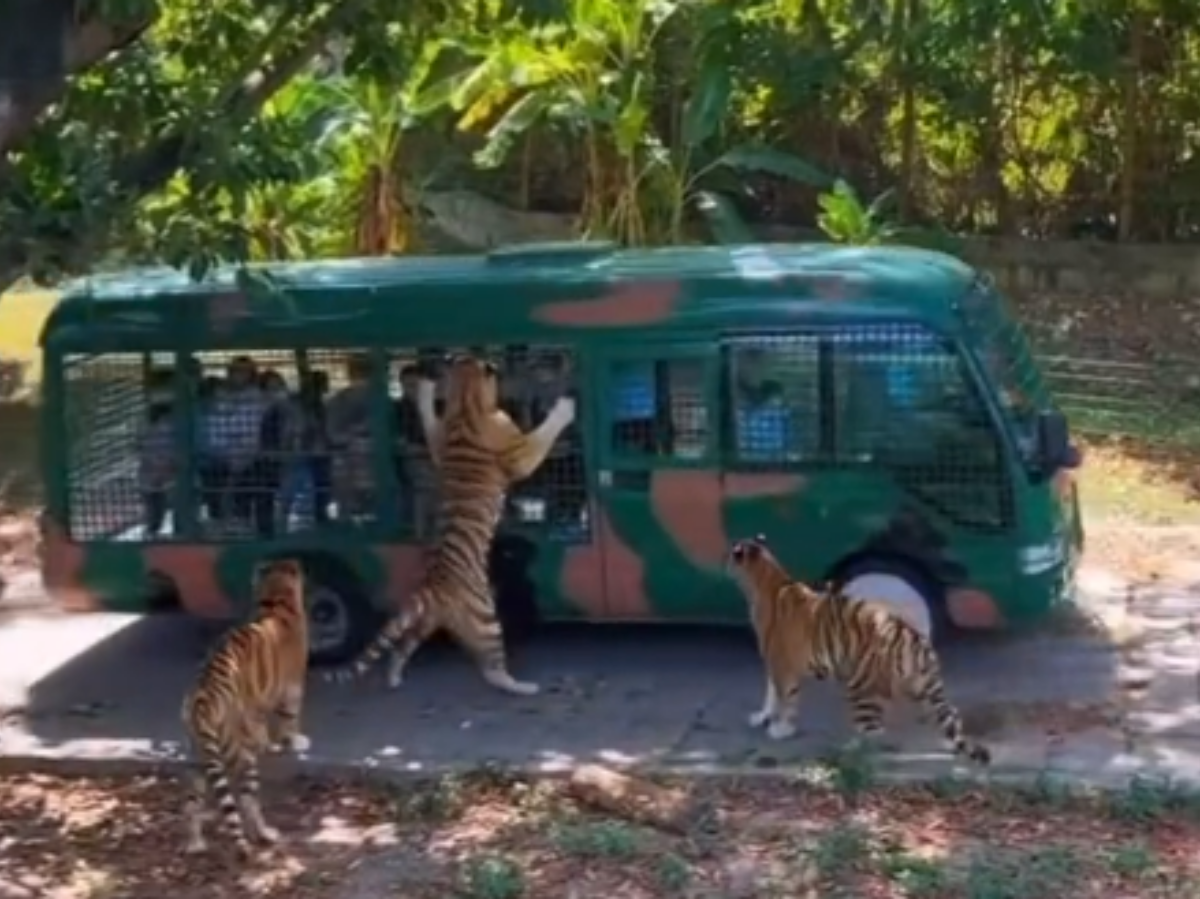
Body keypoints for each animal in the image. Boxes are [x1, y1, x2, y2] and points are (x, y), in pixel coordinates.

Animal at [181, 558, 311, 858]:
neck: (275, 599)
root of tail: (202, 700)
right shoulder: (292, 687)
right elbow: (289, 720)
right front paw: (294, 742)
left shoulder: (256, 702)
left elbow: (261, 723)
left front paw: (267, 742)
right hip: (238, 755)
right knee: (247, 801)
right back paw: (264, 834)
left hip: (198, 758)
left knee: (191, 802)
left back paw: (195, 844)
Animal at [326, 353, 576, 696]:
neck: (466, 400)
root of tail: (432, 589)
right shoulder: (519, 453)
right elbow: (541, 436)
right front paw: (565, 408)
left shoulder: (438, 442)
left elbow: (430, 425)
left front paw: (424, 391)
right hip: (486, 619)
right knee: (491, 669)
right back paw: (522, 686)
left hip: (423, 624)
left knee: (401, 647)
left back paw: (393, 677)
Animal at [725, 534, 991, 765]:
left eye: (730, 553)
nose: (723, 560)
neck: (767, 576)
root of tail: (913, 635)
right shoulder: (775, 662)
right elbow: (771, 692)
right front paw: (763, 717)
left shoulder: (781, 663)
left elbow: (785, 698)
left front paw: (781, 729)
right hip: (919, 685)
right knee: (950, 714)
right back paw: (948, 743)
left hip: (862, 688)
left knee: (875, 734)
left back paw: (852, 752)